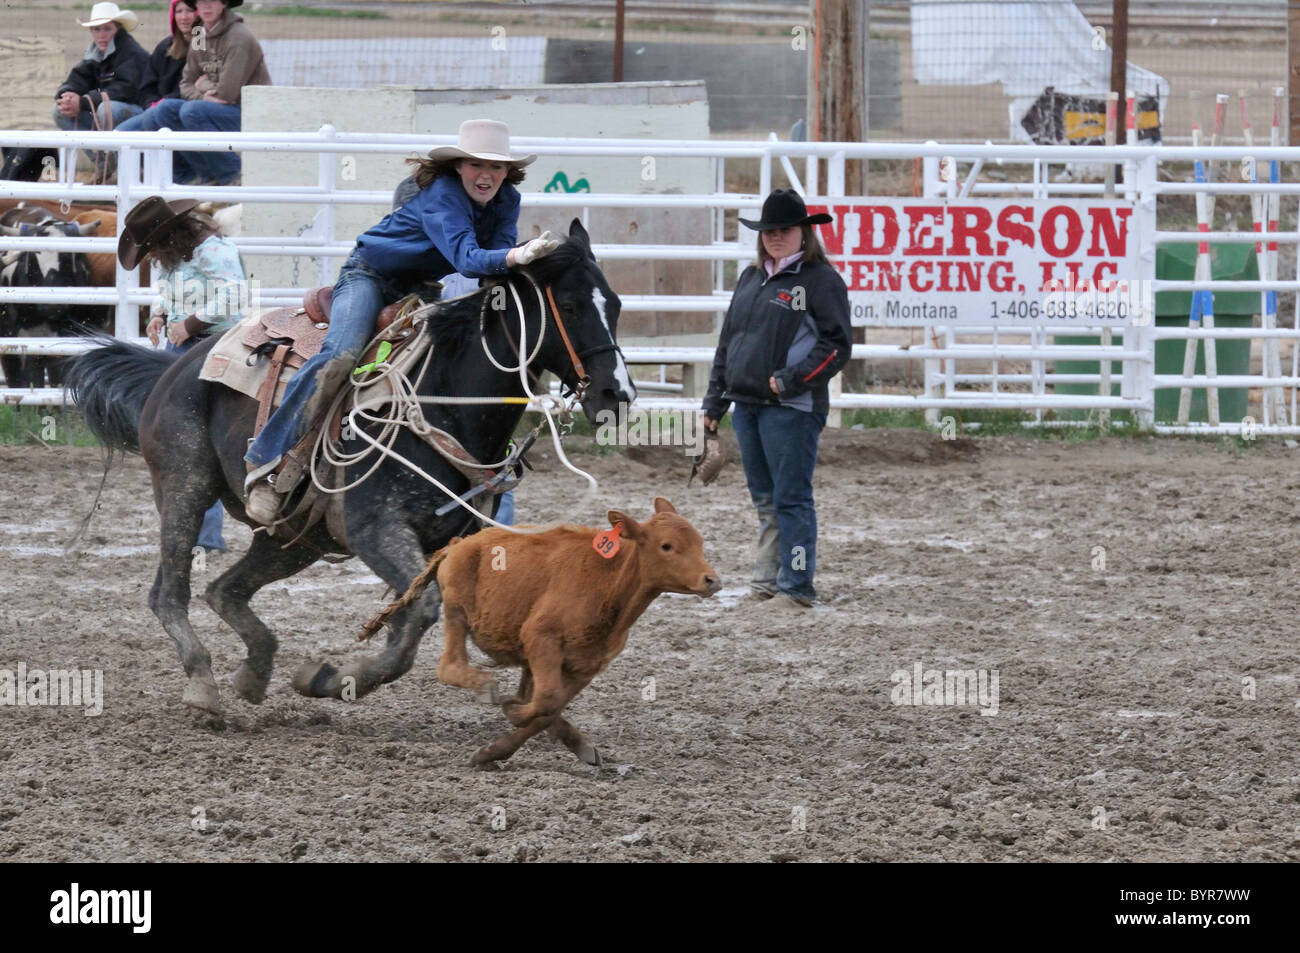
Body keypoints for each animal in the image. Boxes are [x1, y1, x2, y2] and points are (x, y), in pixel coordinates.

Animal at [427, 497, 720, 767]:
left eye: (699, 543)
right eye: (667, 546)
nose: (712, 580)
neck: (608, 584)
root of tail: (460, 543)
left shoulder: (586, 665)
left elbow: (547, 710)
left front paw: (495, 749)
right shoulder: (541, 637)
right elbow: (546, 698)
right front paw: (512, 713)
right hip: (456, 610)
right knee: (450, 665)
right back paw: (485, 686)